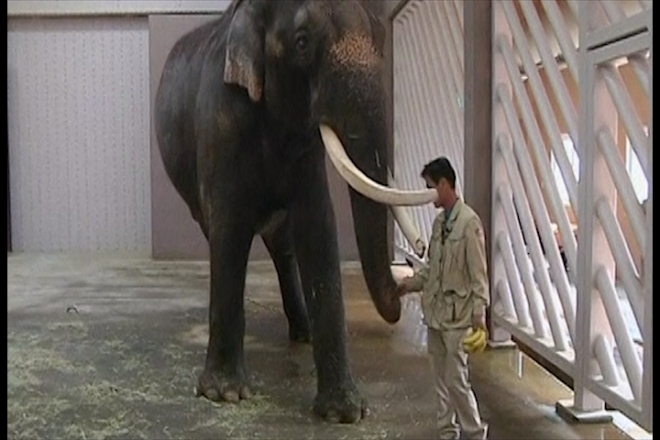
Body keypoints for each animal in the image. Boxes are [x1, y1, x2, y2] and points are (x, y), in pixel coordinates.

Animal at [154, 0, 436, 423]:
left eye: (381, 38)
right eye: (302, 42)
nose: (409, 276)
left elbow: (318, 229)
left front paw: (344, 413)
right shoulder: (221, 124)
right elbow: (229, 230)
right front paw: (225, 394)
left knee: (282, 244)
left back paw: (302, 334)